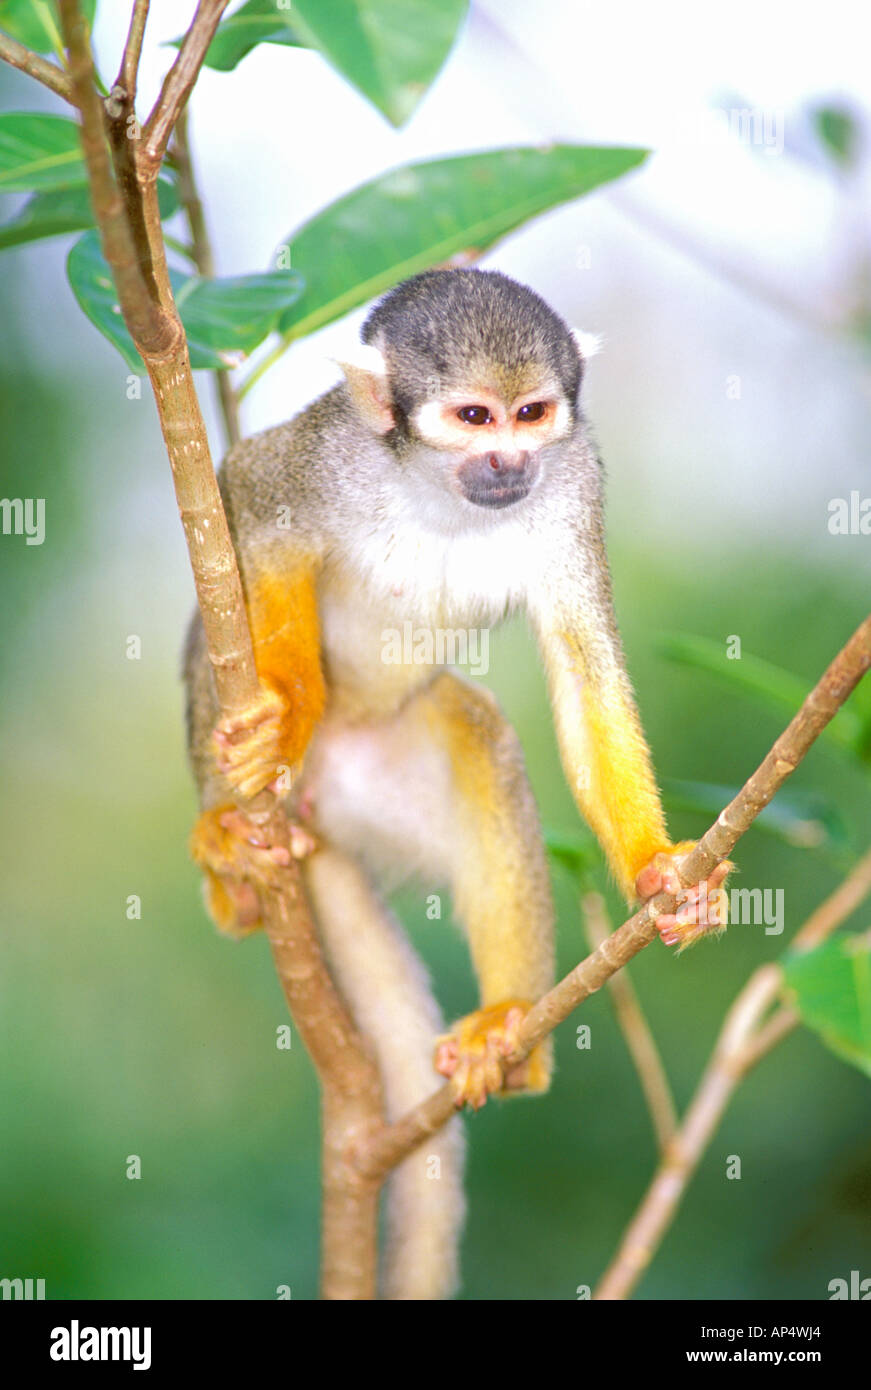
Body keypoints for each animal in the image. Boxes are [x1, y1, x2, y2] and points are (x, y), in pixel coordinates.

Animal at [183, 267, 730, 1299]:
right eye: (473, 416)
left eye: (530, 413)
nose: (509, 459)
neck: (437, 492)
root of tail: (323, 809)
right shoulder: (323, 458)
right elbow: (246, 503)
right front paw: (289, 704)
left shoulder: (573, 483)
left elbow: (584, 671)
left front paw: (659, 872)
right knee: (212, 625)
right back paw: (234, 862)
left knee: (480, 738)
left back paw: (511, 1036)